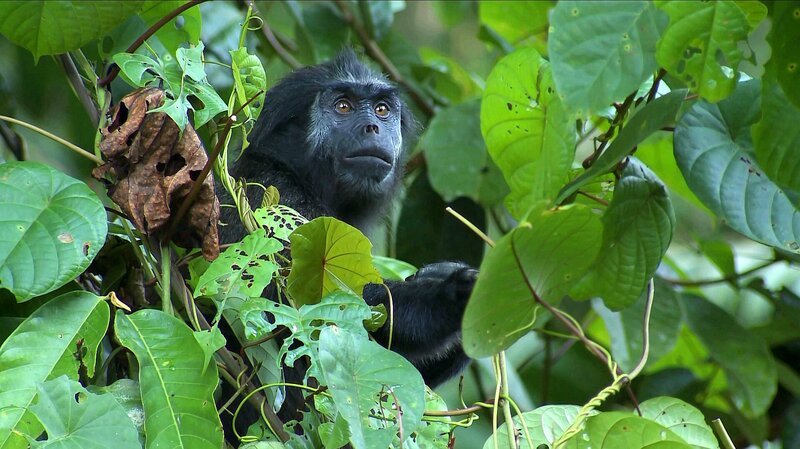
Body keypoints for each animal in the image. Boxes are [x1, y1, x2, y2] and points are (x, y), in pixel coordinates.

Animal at [219, 49, 476, 415]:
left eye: (382, 110)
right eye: (343, 106)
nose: (372, 127)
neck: (304, 179)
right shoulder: (272, 196)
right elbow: (322, 312)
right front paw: (454, 293)